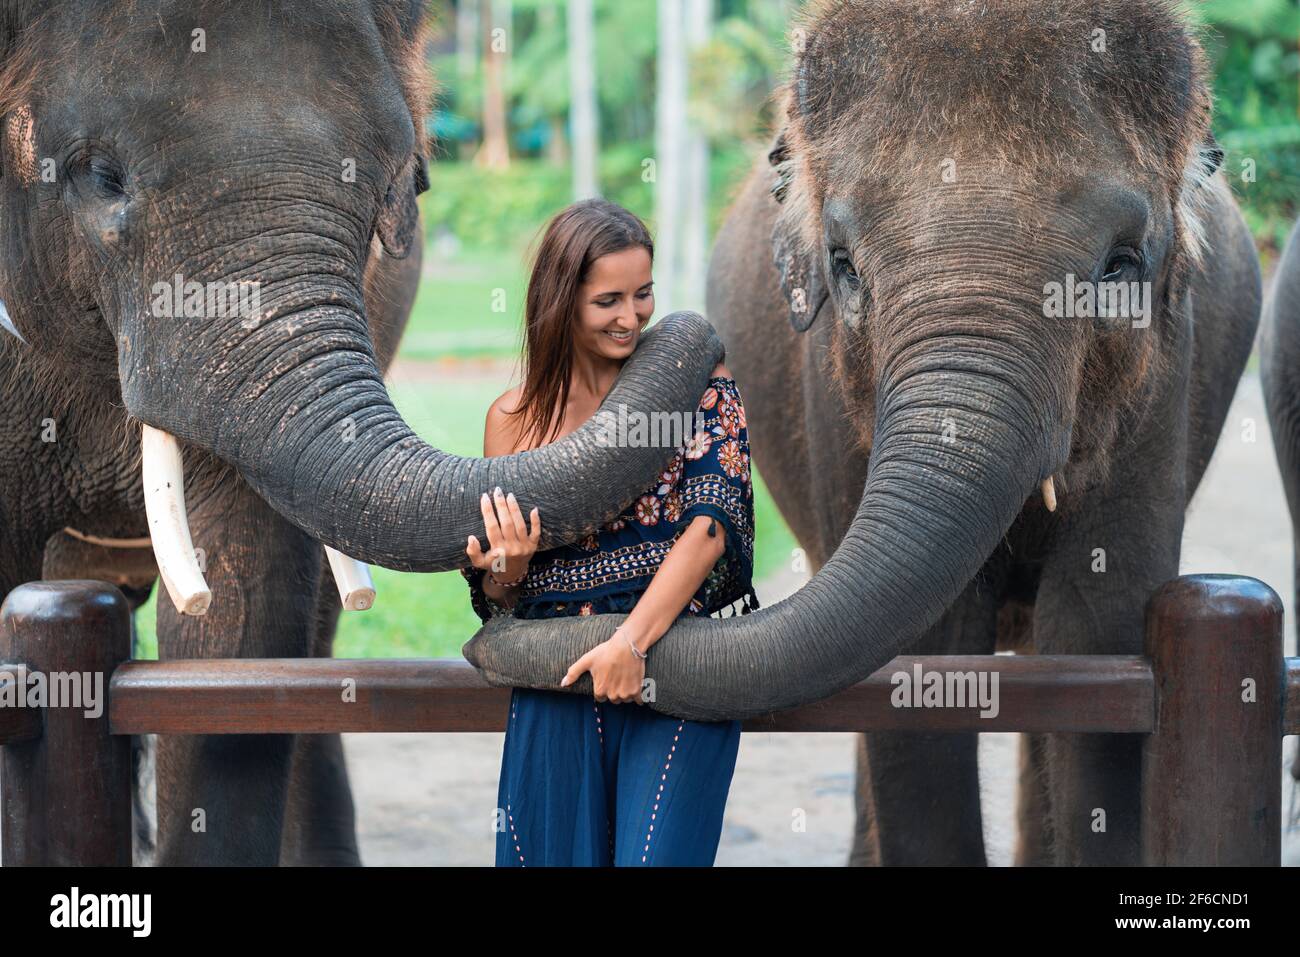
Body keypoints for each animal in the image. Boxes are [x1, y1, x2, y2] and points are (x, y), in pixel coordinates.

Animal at [462, 0, 1263, 866]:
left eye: (1121, 264)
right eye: (844, 265)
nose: (489, 642)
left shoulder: (1165, 385)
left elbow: (1096, 630)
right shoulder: (833, 398)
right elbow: (922, 660)